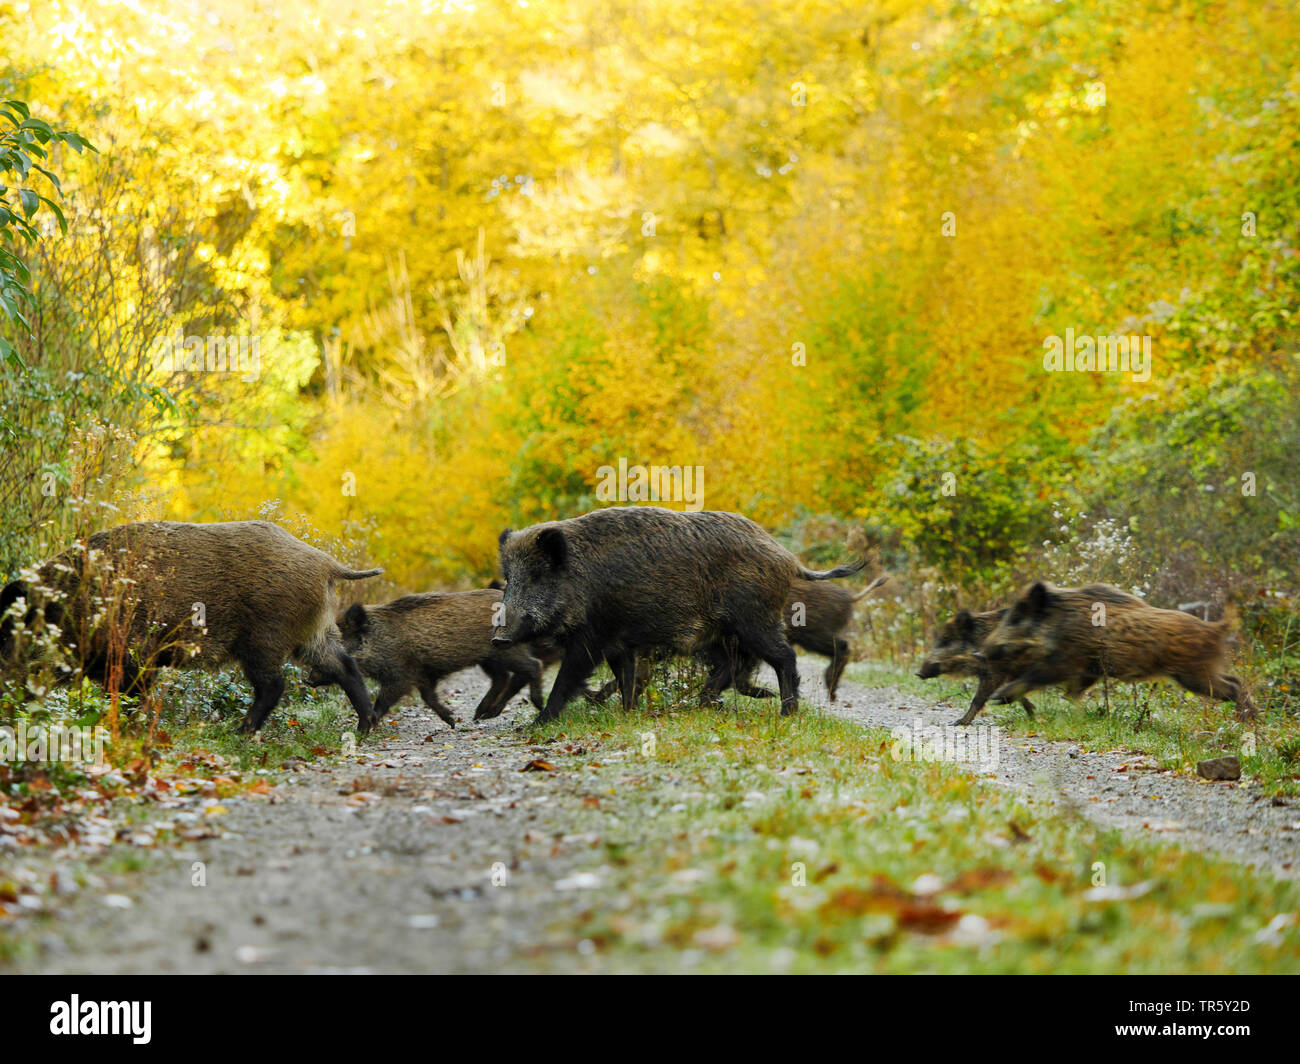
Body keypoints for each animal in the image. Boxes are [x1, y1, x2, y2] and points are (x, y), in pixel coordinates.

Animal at [0, 521, 381, 734]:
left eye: (10, 633)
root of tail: (327, 563)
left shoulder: (135, 652)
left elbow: (133, 692)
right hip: (311, 635)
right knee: (345, 666)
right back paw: (365, 727)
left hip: (265, 638)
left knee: (274, 685)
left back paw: (239, 732)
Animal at [332, 589, 545, 727]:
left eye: (340, 640)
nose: (312, 677)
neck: (380, 640)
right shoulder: (423, 675)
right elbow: (429, 697)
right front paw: (451, 721)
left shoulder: (402, 675)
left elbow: (386, 699)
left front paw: (370, 724)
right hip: (489, 659)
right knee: (503, 678)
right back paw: (479, 715)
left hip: (505, 653)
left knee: (533, 666)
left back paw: (537, 704)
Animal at [492, 506, 863, 721]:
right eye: (509, 577)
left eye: (537, 576)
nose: (498, 639)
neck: (582, 579)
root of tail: (788, 559)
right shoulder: (618, 642)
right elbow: (627, 676)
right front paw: (628, 713)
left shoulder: (592, 637)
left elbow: (569, 677)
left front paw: (538, 724)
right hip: (721, 632)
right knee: (734, 664)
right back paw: (703, 703)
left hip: (754, 620)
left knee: (784, 656)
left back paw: (787, 713)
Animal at [981, 582, 1257, 720]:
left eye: (1016, 617)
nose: (982, 652)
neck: (1059, 623)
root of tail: (1215, 627)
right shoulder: (1088, 670)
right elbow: (1072, 692)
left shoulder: (1067, 661)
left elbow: (1035, 676)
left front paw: (998, 697)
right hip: (1204, 670)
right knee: (1235, 680)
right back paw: (1251, 718)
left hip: (1193, 674)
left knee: (1231, 687)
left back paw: (1247, 719)